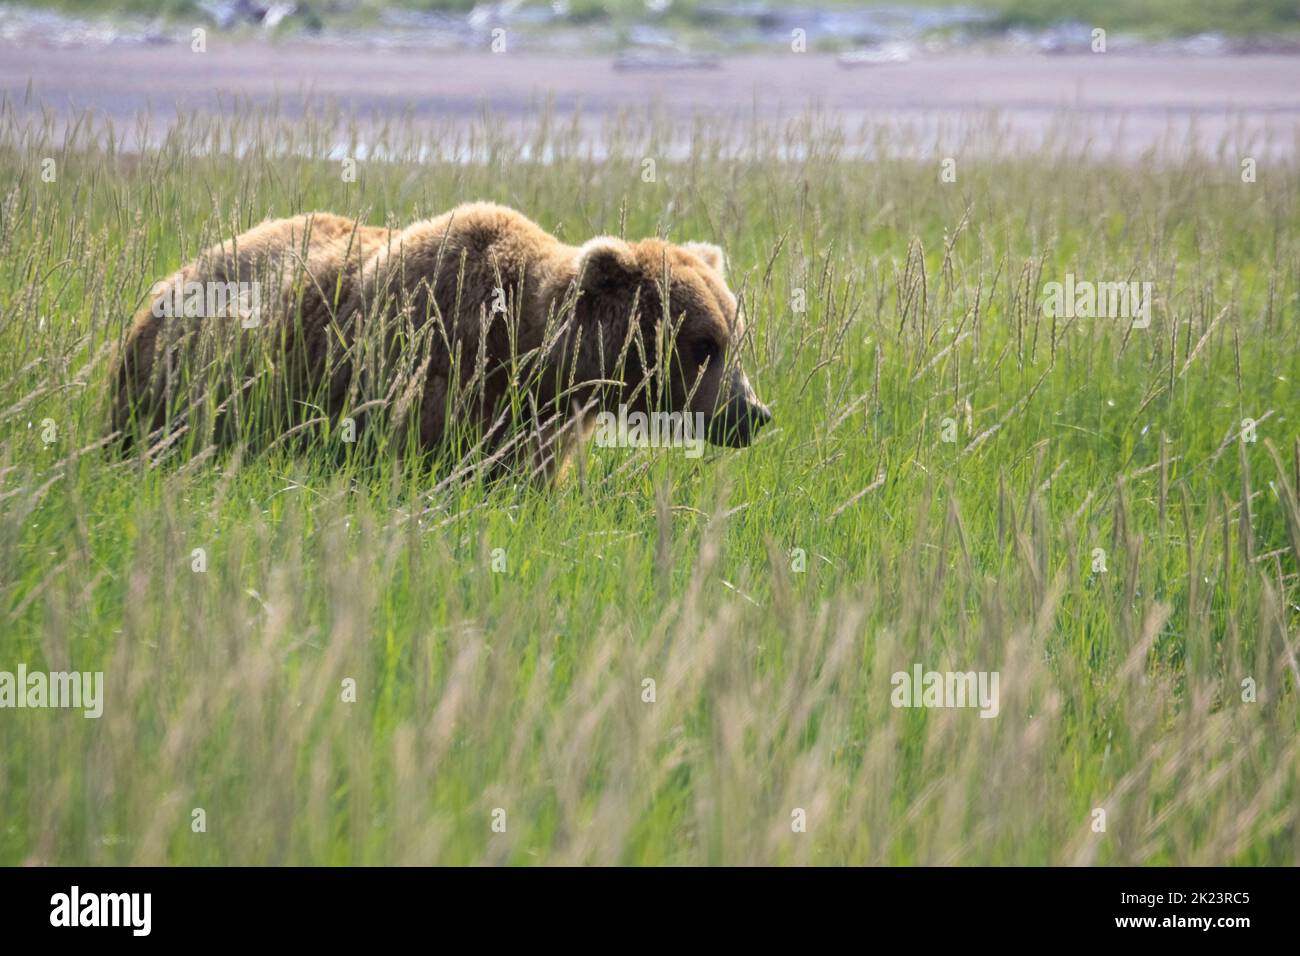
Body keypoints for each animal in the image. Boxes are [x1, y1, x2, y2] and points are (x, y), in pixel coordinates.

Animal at [110, 202, 771, 480]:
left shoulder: (535, 427)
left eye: (735, 336)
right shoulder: (425, 371)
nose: (752, 413)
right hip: (191, 383)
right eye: (704, 343)